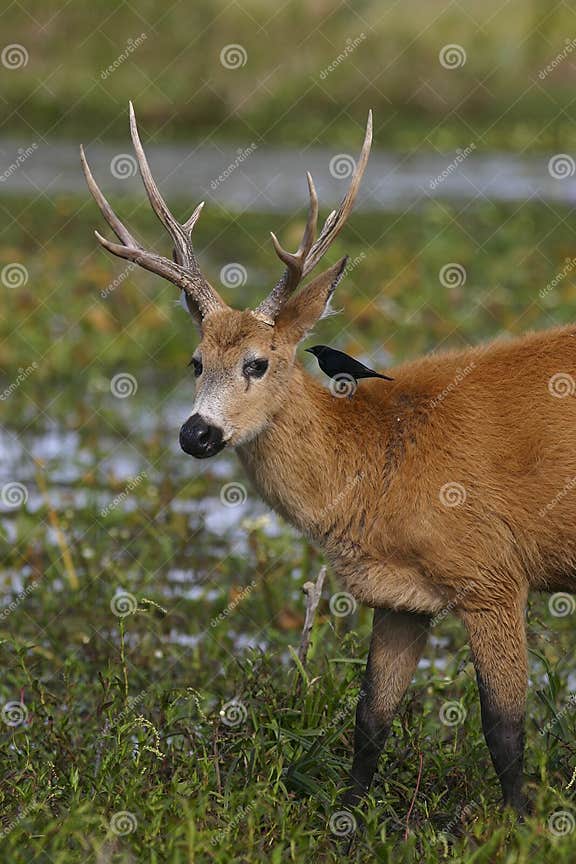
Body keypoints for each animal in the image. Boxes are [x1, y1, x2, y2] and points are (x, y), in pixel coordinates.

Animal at [81, 103, 576, 819]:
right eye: (196, 362)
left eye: (258, 362)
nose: (196, 434)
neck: (379, 458)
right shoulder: (402, 597)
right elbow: (371, 719)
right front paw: (348, 816)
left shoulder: (492, 574)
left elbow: (503, 725)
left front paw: (520, 823)